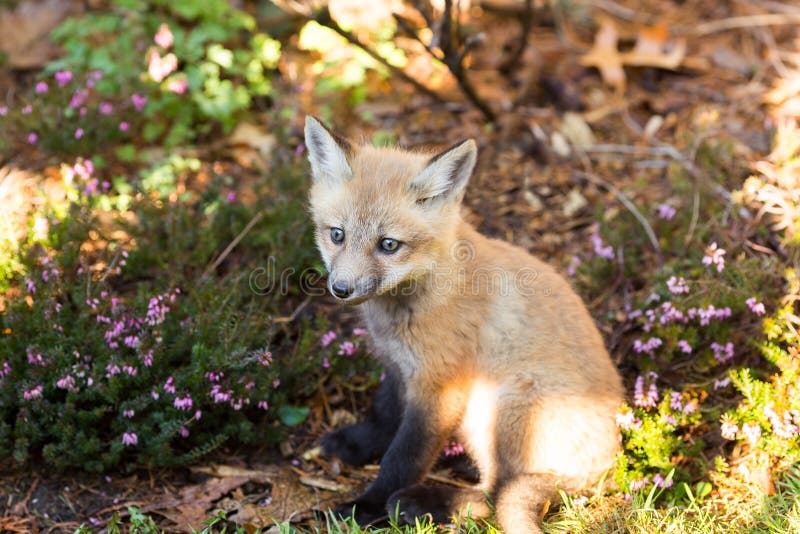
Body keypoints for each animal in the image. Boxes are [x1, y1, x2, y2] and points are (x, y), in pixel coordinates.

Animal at [304, 115, 624, 534]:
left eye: (388, 245)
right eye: (337, 234)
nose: (341, 289)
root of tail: (609, 469)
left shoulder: (440, 385)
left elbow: (404, 455)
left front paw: (366, 506)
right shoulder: (397, 366)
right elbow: (384, 415)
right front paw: (355, 445)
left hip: (496, 410)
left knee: (495, 494)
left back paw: (423, 502)